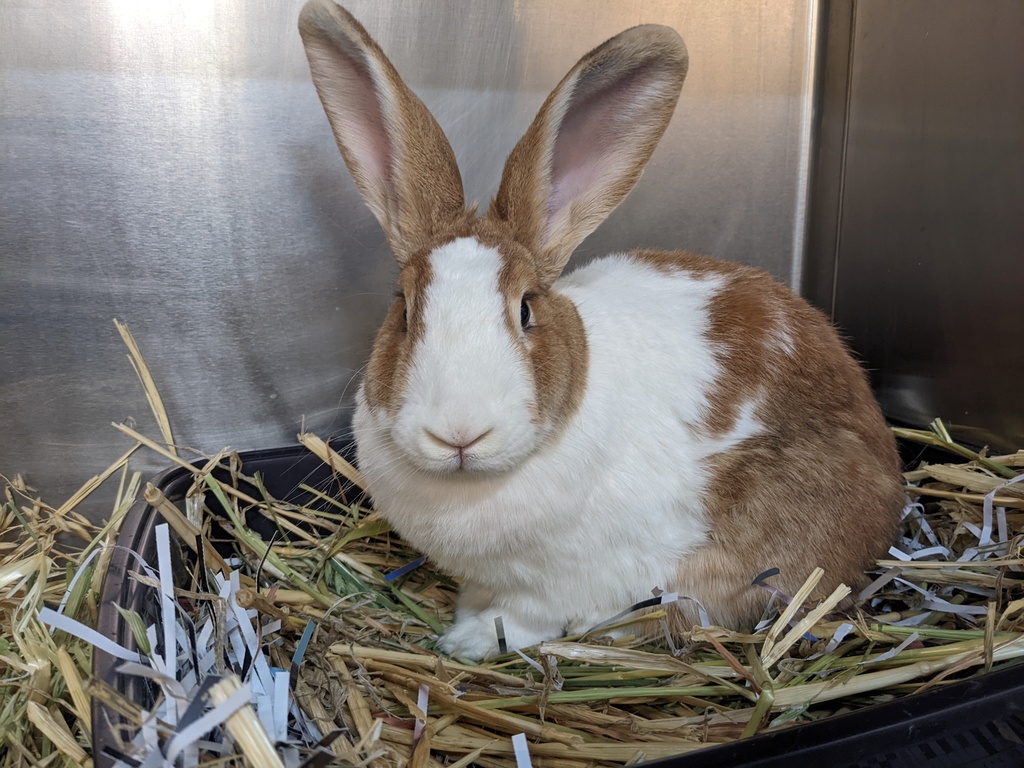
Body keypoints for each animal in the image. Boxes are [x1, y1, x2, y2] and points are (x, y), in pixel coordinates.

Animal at [298, 0, 905, 660]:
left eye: (526, 310)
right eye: (405, 310)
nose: (459, 433)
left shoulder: (566, 584)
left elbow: (528, 616)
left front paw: (470, 641)